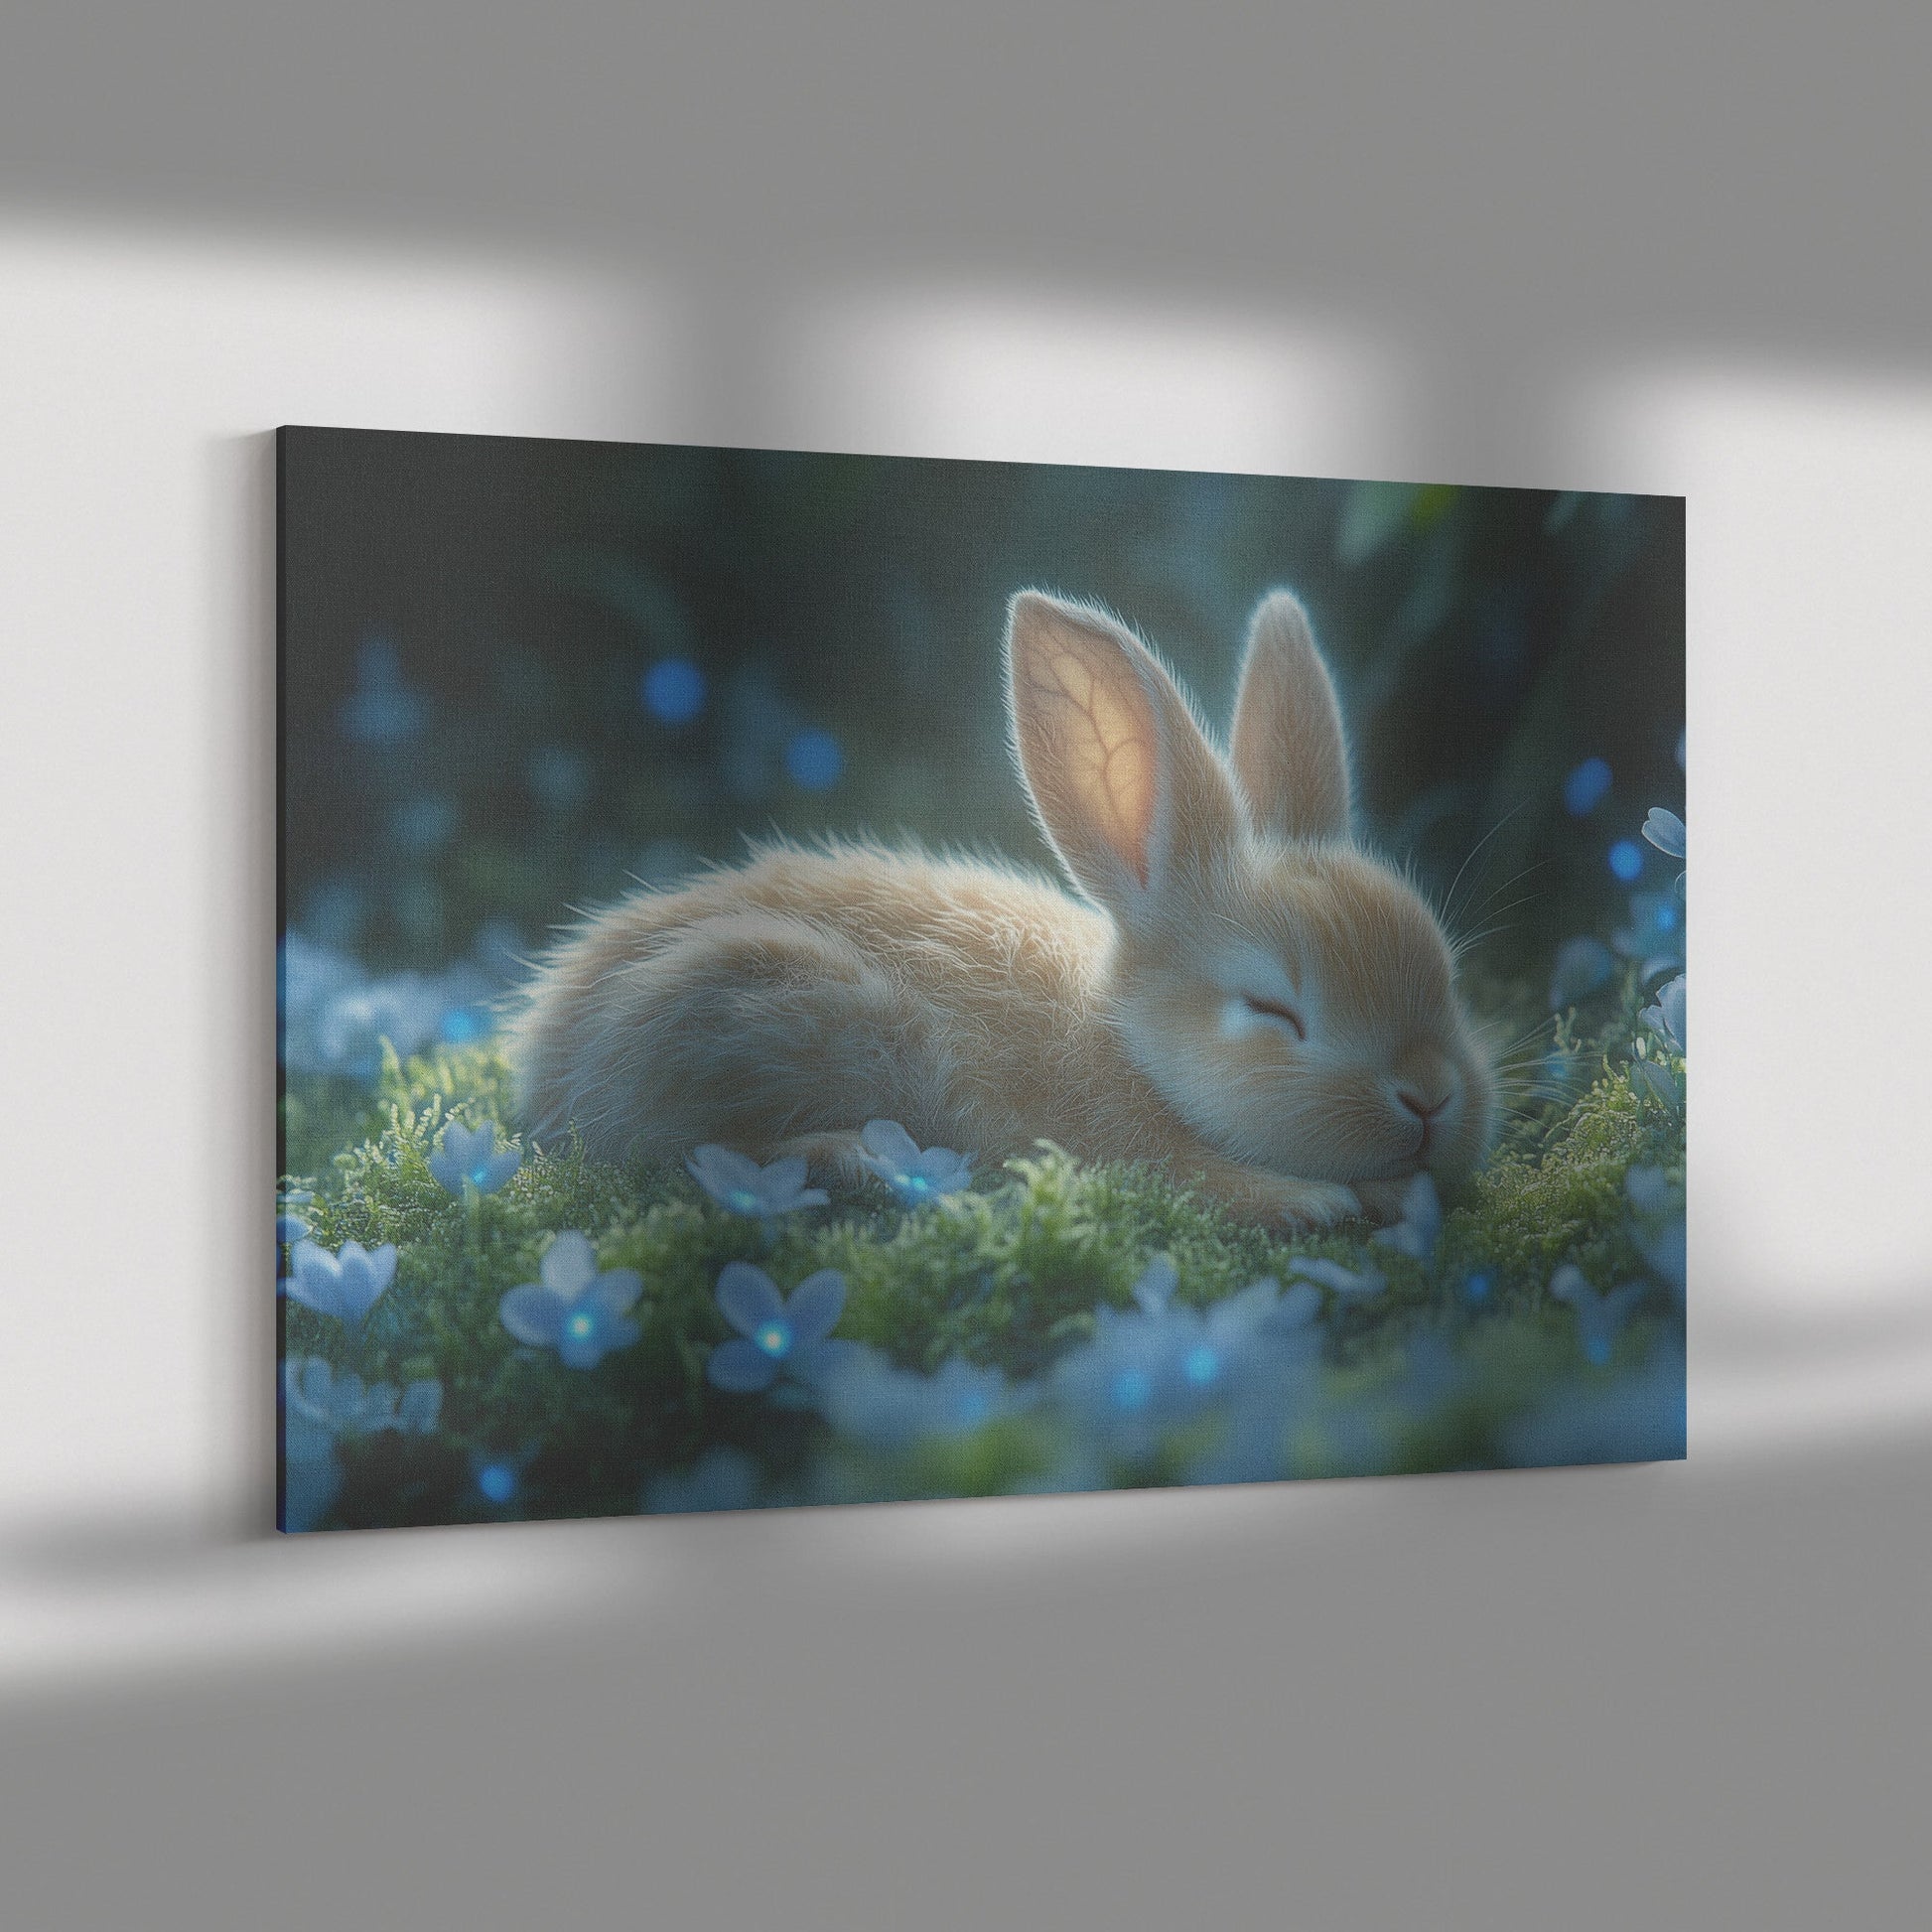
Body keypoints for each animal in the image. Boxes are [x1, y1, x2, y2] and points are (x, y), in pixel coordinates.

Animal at [505, 588, 1496, 1229]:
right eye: (1272, 1011)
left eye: (1448, 976)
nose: (1432, 1097)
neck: (1127, 1044)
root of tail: (548, 1061)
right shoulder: (1118, 1141)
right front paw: (1321, 1200)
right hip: (742, 998)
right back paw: (853, 1156)